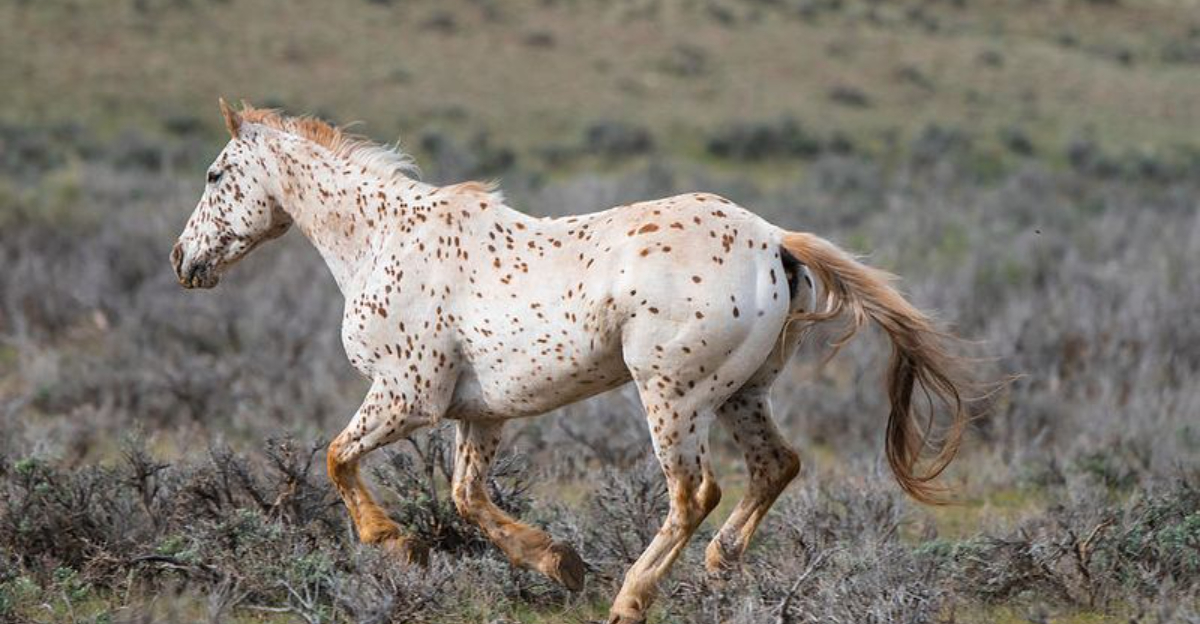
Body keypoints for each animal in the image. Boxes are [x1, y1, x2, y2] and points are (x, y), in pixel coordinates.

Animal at [171, 99, 972, 624]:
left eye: (213, 176)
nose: (183, 260)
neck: (378, 239)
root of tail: (773, 239)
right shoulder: (479, 414)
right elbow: (467, 498)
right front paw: (558, 562)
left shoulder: (407, 395)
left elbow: (339, 457)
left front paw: (394, 545)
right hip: (743, 392)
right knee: (777, 466)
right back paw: (720, 565)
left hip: (674, 396)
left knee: (694, 494)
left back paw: (631, 599)